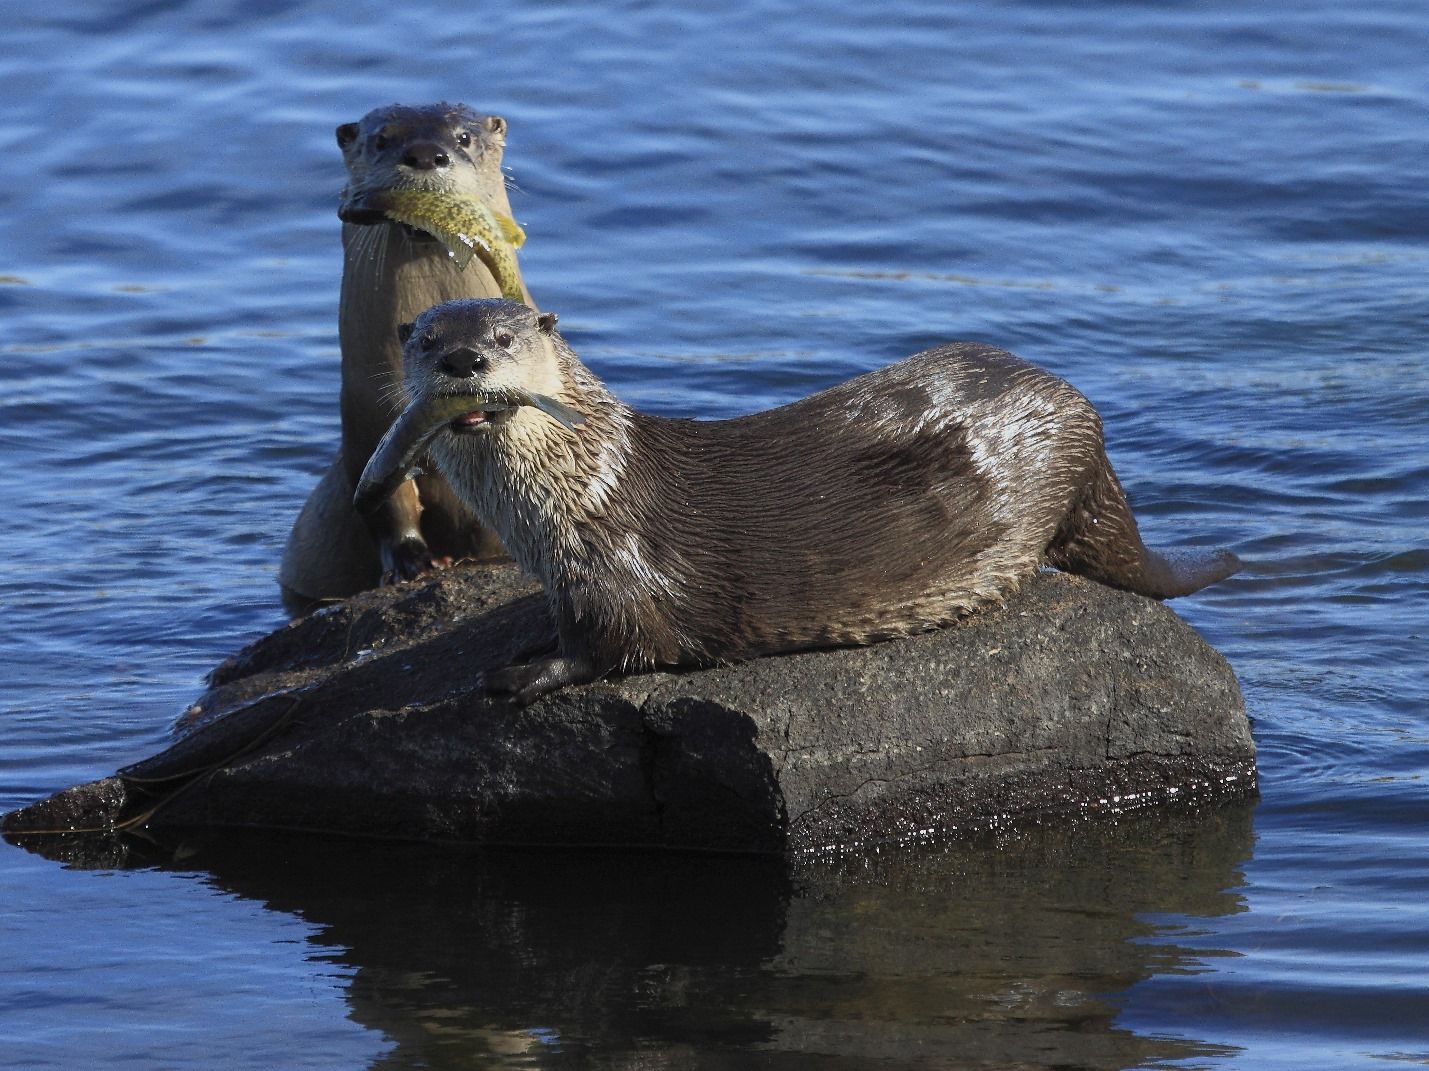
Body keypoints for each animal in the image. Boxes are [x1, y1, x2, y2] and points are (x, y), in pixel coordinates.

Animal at [280, 103, 533, 608]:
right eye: (381, 140)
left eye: (464, 138)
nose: (425, 153)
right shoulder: (364, 417)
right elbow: (387, 506)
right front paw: (411, 565)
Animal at [357, 299, 1240, 704]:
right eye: (428, 339)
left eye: (504, 339)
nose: (464, 360)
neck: (579, 488)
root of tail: (1079, 414)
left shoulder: (614, 573)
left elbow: (616, 646)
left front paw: (522, 671)